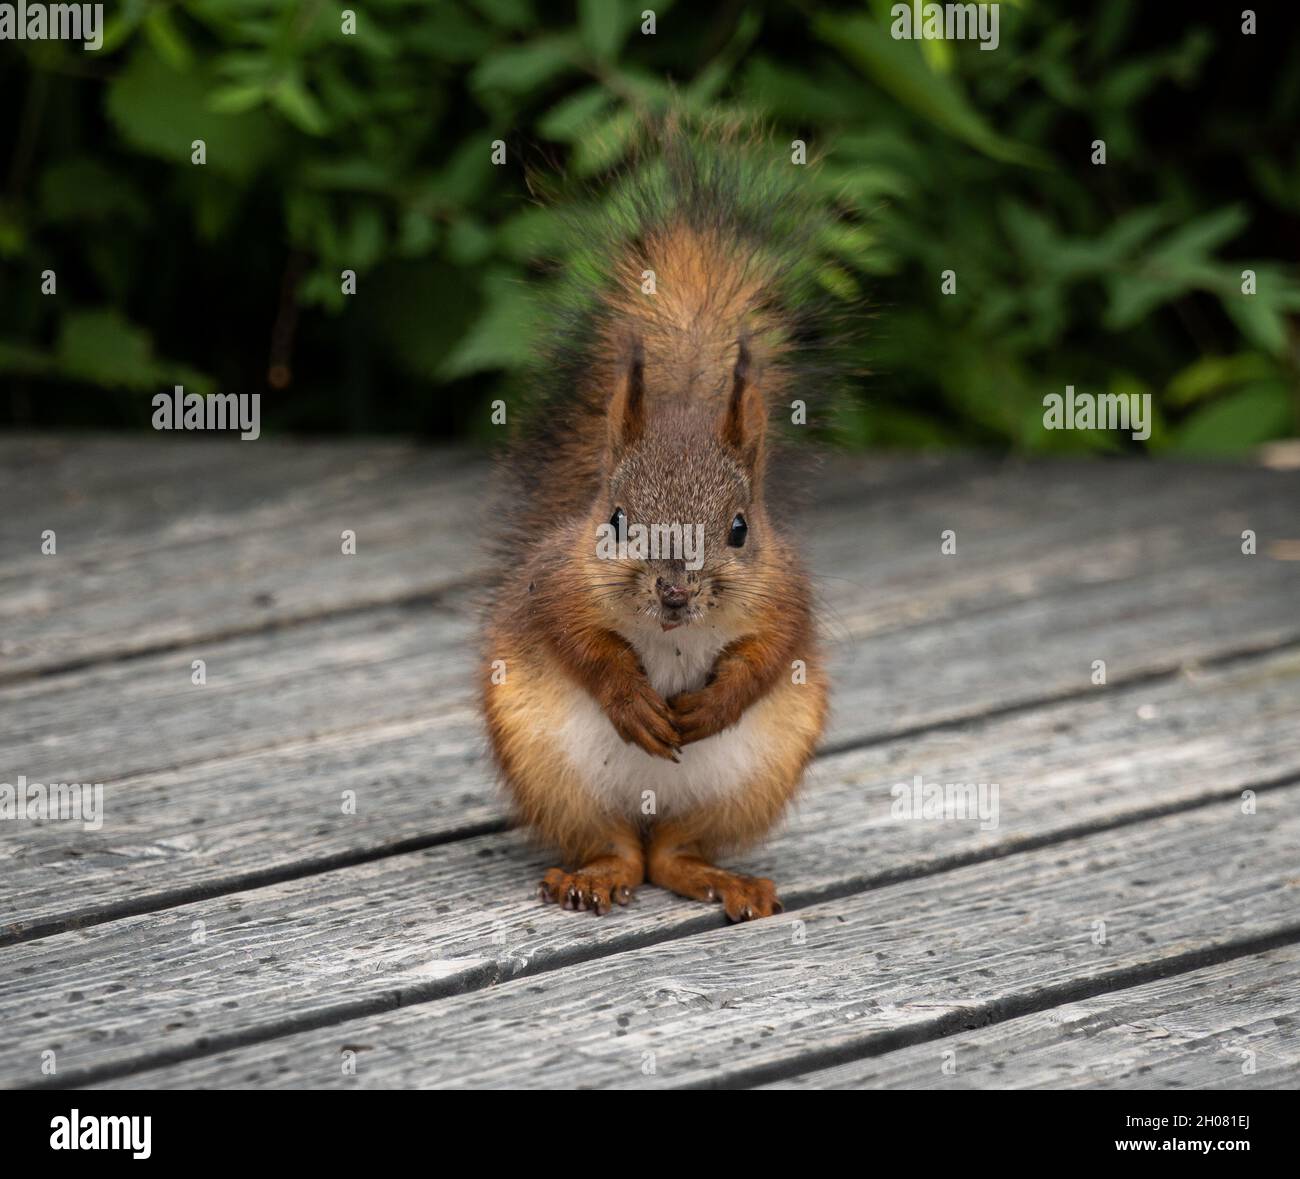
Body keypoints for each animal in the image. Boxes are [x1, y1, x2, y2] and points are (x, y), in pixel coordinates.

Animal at [481, 120, 830, 922]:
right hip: (549, 768)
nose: (673, 593)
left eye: (739, 528)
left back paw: (722, 880)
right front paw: (630, 699)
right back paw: (592, 876)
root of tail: (645, 814)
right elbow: (578, 642)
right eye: (614, 519)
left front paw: (718, 700)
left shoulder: (786, 595)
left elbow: (771, 654)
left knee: (673, 856)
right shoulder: (557, 586)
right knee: (615, 848)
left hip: (752, 780)